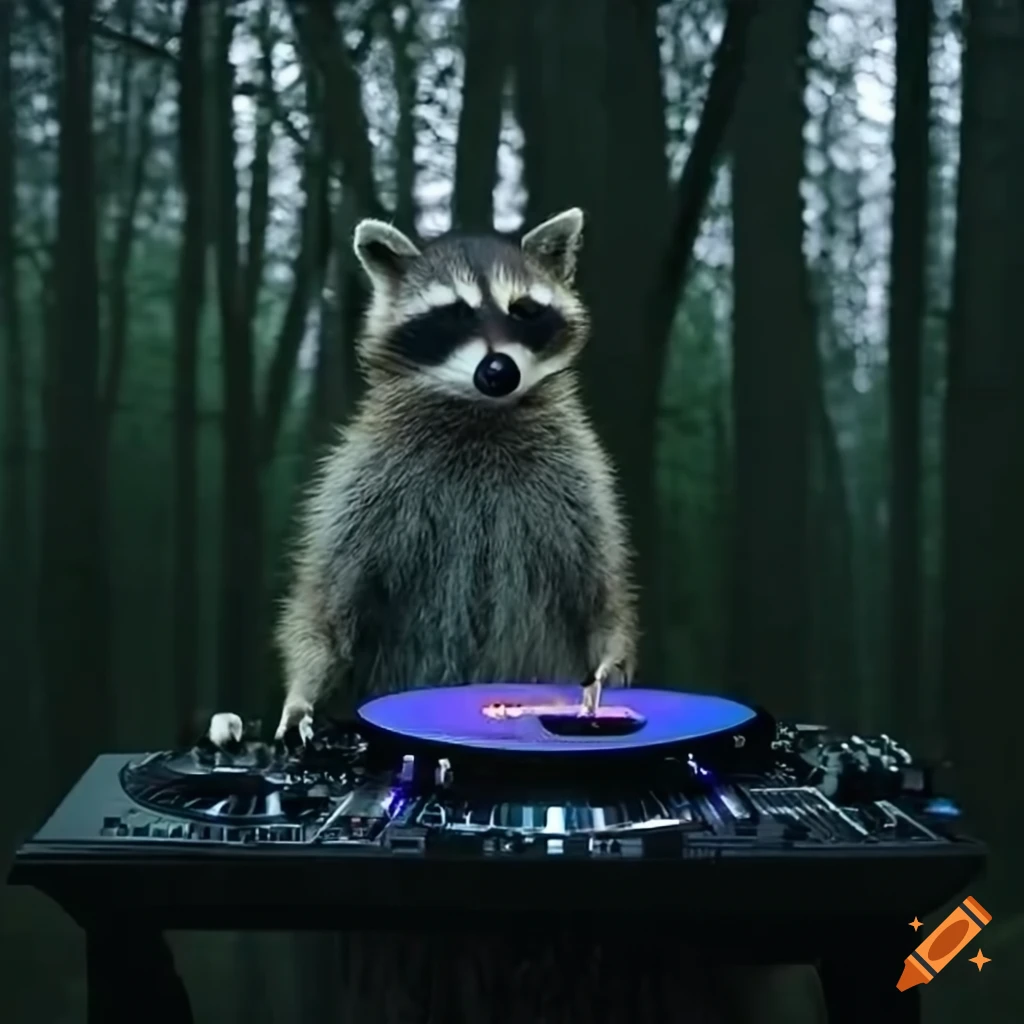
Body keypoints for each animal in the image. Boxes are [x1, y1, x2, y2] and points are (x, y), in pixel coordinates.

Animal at [210, 208, 636, 746]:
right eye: (453, 313)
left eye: (523, 310)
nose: (498, 372)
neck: (481, 412)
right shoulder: (364, 482)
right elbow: (326, 605)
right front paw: (302, 691)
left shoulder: (578, 482)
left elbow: (601, 594)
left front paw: (611, 661)